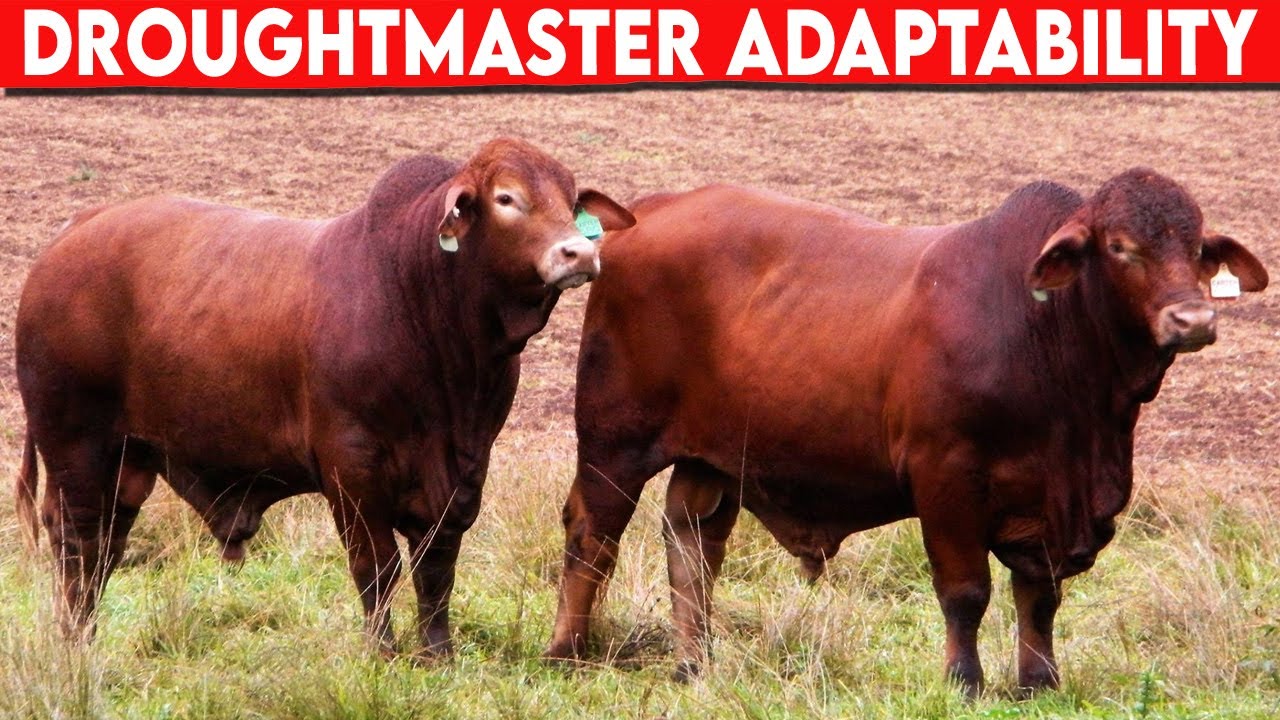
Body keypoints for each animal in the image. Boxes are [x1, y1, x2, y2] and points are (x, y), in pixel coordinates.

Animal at [14, 138, 634, 658]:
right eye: (507, 198)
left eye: (569, 199)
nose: (578, 254)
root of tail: (76, 229)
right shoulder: (352, 467)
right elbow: (376, 566)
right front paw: (383, 652)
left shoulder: (464, 472)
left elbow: (437, 570)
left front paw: (438, 653)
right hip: (75, 445)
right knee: (78, 544)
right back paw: (75, 642)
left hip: (128, 460)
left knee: (105, 548)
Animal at [544, 169, 1268, 694]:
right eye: (1120, 247)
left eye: (1198, 250)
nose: (1193, 319)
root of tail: (652, 211)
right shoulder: (945, 478)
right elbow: (966, 591)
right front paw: (963, 681)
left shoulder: (1045, 505)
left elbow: (1039, 599)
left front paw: (1039, 681)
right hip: (614, 442)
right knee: (593, 537)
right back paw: (567, 652)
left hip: (714, 460)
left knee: (693, 546)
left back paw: (695, 663)